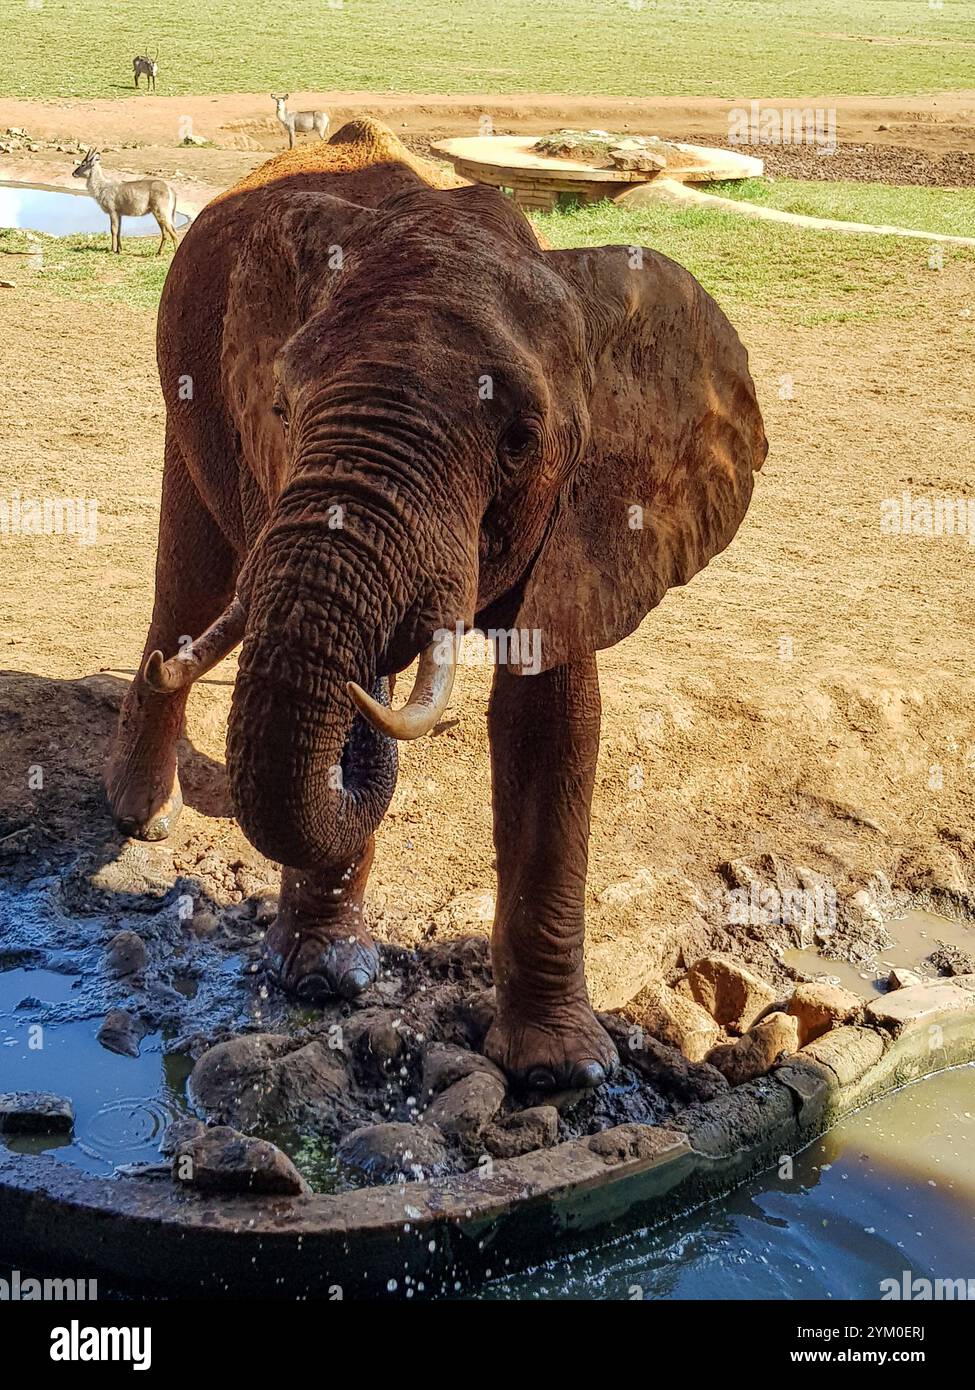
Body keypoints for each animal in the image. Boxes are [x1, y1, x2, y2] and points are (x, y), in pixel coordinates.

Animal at [105, 121, 768, 1092]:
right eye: (283, 407)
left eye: (521, 441)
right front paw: (324, 981)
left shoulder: (585, 513)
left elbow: (555, 713)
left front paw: (562, 1069)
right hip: (182, 385)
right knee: (187, 593)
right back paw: (144, 817)